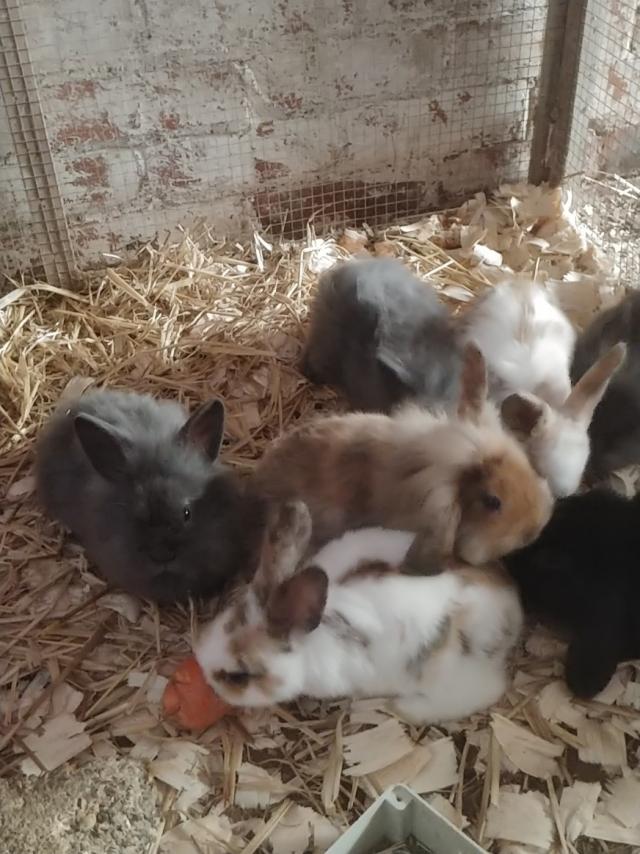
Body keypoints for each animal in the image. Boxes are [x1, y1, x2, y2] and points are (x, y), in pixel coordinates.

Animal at [195, 500, 523, 724]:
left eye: (238, 676)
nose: (205, 674)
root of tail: (512, 607)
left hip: (450, 678)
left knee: (485, 691)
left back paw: (402, 708)